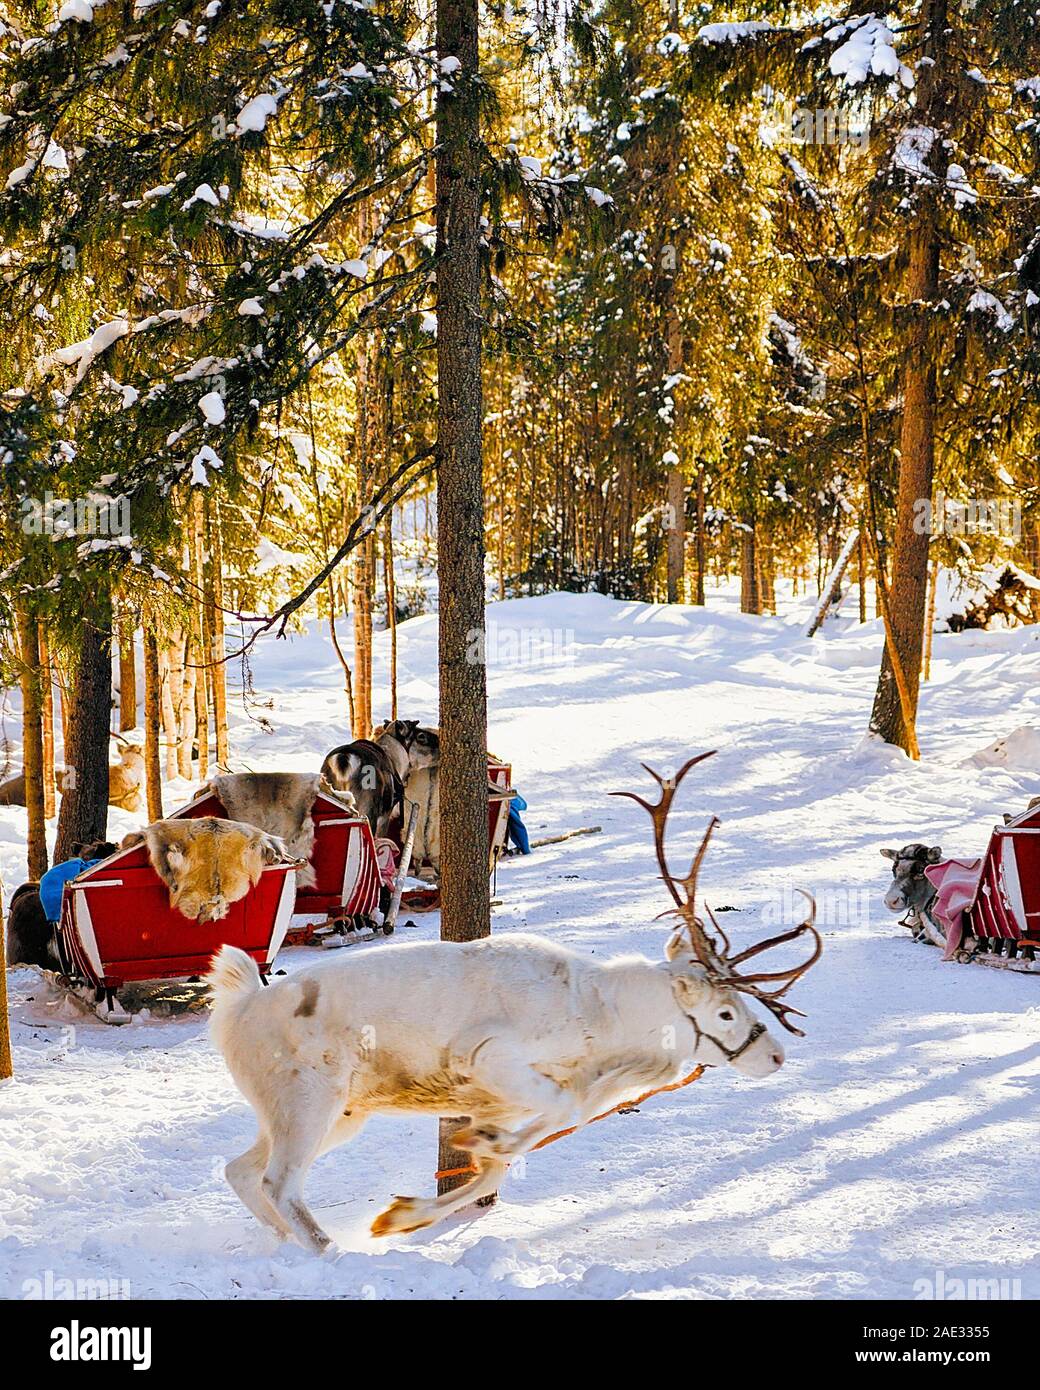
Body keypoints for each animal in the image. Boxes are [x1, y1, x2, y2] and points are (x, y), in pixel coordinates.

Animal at [206, 751, 820, 1254]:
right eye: (725, 1012)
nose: (776, 1055)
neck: (608, 1030)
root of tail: (236, 1008)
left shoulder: (497, 1098)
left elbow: (502, 1166)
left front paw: (406, 1211)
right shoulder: (490, 1057)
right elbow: (554, 1115)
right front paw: (471, 1154)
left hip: (333, 1113)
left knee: (240, 1171)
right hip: (309, 1102)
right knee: (278, 1183)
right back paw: (329, 1251)